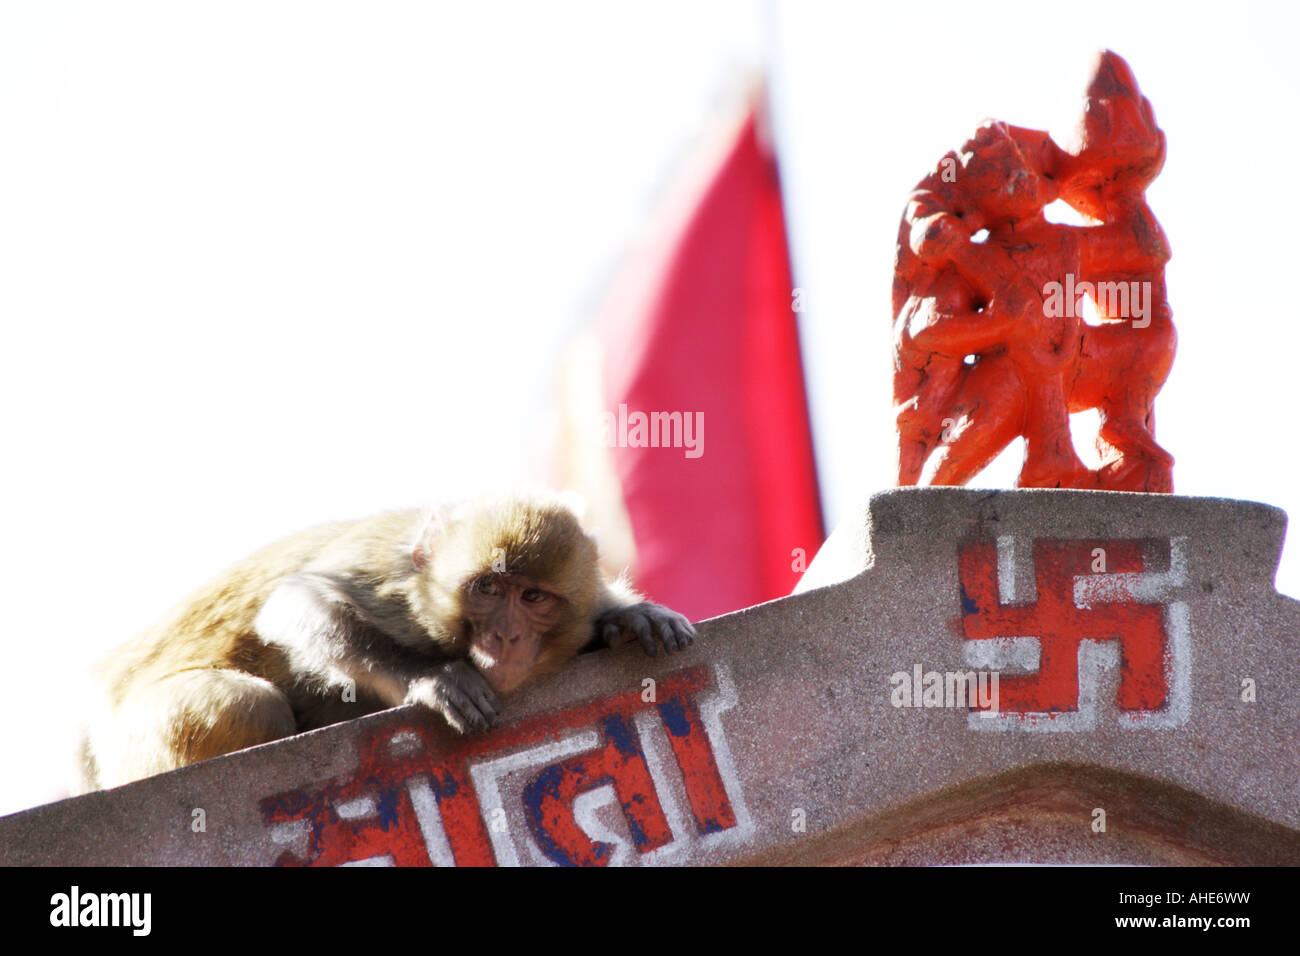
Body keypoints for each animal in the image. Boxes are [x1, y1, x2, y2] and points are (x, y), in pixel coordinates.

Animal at [78, 491, 695, 792]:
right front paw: (431, 678)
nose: (507, 635)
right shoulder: (393, 582)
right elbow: (299, 603)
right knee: (247, 706)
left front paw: (630, 617)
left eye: (533, 598)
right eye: (488, 588)